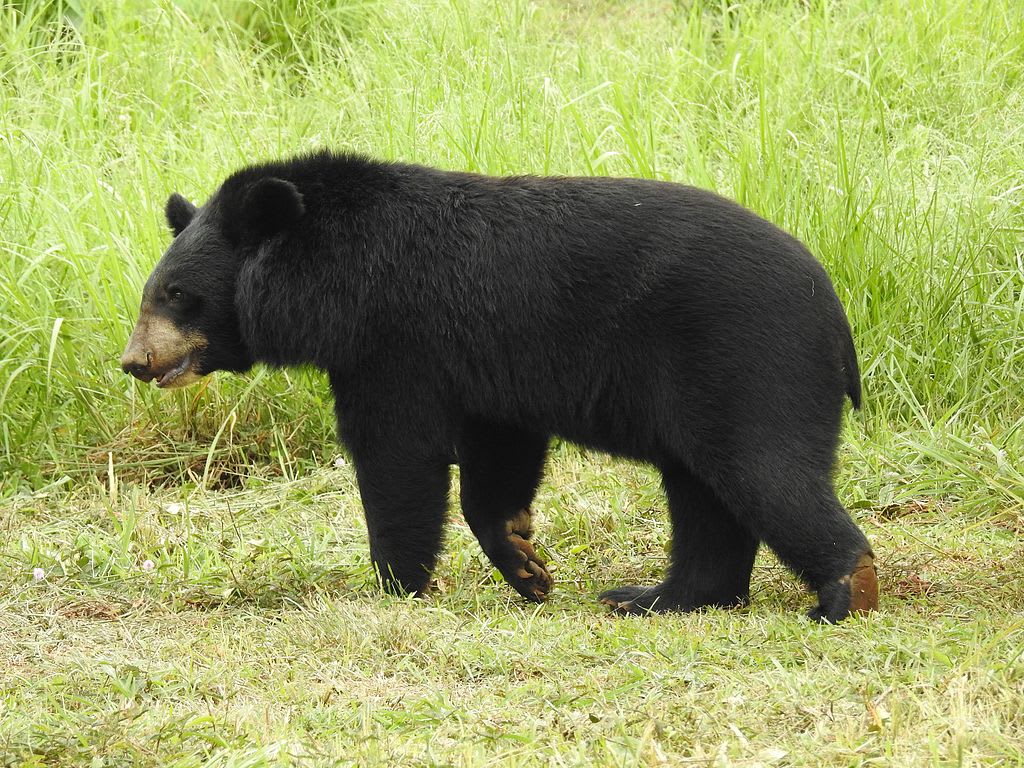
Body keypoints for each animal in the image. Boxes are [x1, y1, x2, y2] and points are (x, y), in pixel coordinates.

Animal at [121, 151, 878, 622]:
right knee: (705, 498)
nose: (135, 362)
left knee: (763, 472)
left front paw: (396, 583)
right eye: (153, 292)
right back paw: (651, 597)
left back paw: (845, 592)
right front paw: (527, 565)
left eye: (177, 294)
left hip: (744, 366)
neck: (331, 275)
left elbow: (398, 457)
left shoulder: (394, 341)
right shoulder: (487, 368)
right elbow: (498, 458)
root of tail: (836, 317)